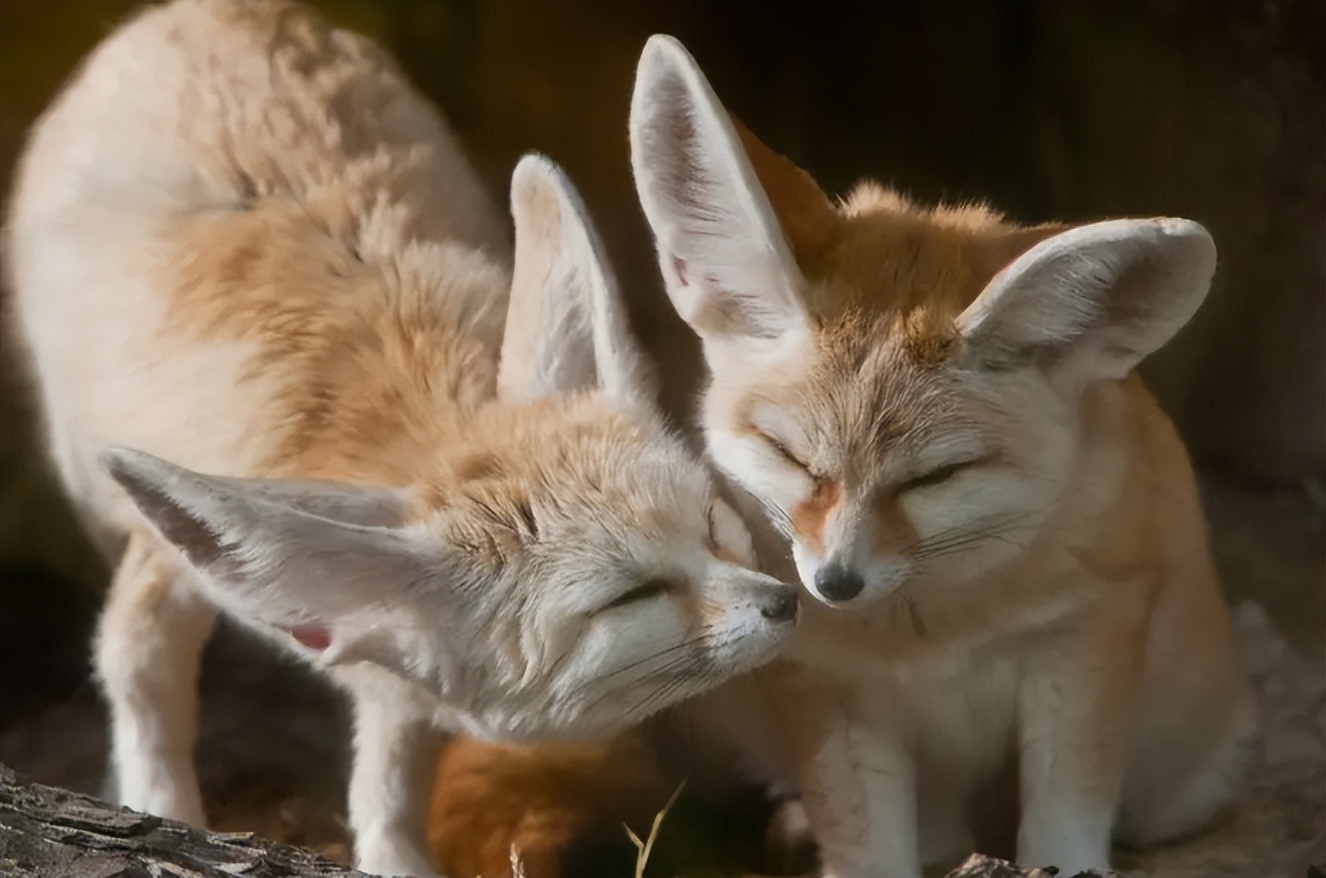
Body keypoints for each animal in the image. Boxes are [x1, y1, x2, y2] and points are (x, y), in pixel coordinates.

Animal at [3, 5, 799, 875]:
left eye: (713, 524)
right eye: (631, 597)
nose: (787, 601)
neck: (414, 423)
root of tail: (199, 12)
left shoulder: (397, 669)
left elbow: (391, 781)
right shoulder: (163, 568)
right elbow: (137, 678)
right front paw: (159, 808)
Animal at [626, 35, 1260, 878]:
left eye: (936, 476)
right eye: (790, 457)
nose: (837, 583)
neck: (931, 632)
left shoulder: (1086, 637)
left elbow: (1065, 826)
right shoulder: (828, 688)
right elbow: (867, 851)